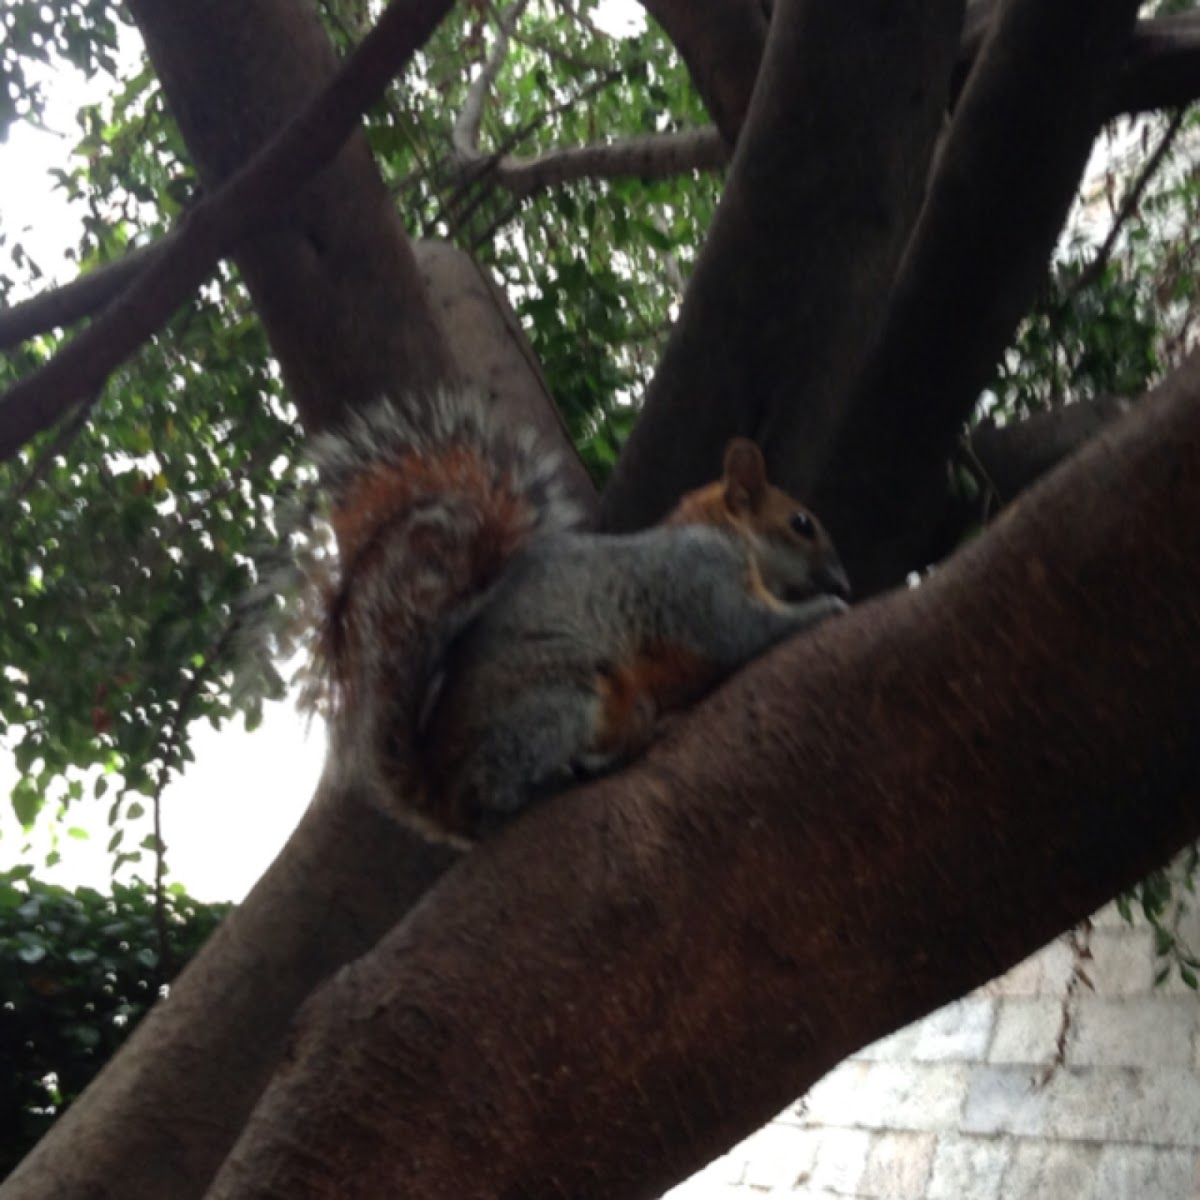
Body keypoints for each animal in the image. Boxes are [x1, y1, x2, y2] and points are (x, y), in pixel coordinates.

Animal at [314, 390, 850, 846]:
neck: (724, 534)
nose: (843, 582)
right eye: (801, 524)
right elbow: (740, 631)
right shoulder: (698, 582)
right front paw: (823, 609)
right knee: (506, 798)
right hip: (560, 696)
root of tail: (444, 798)